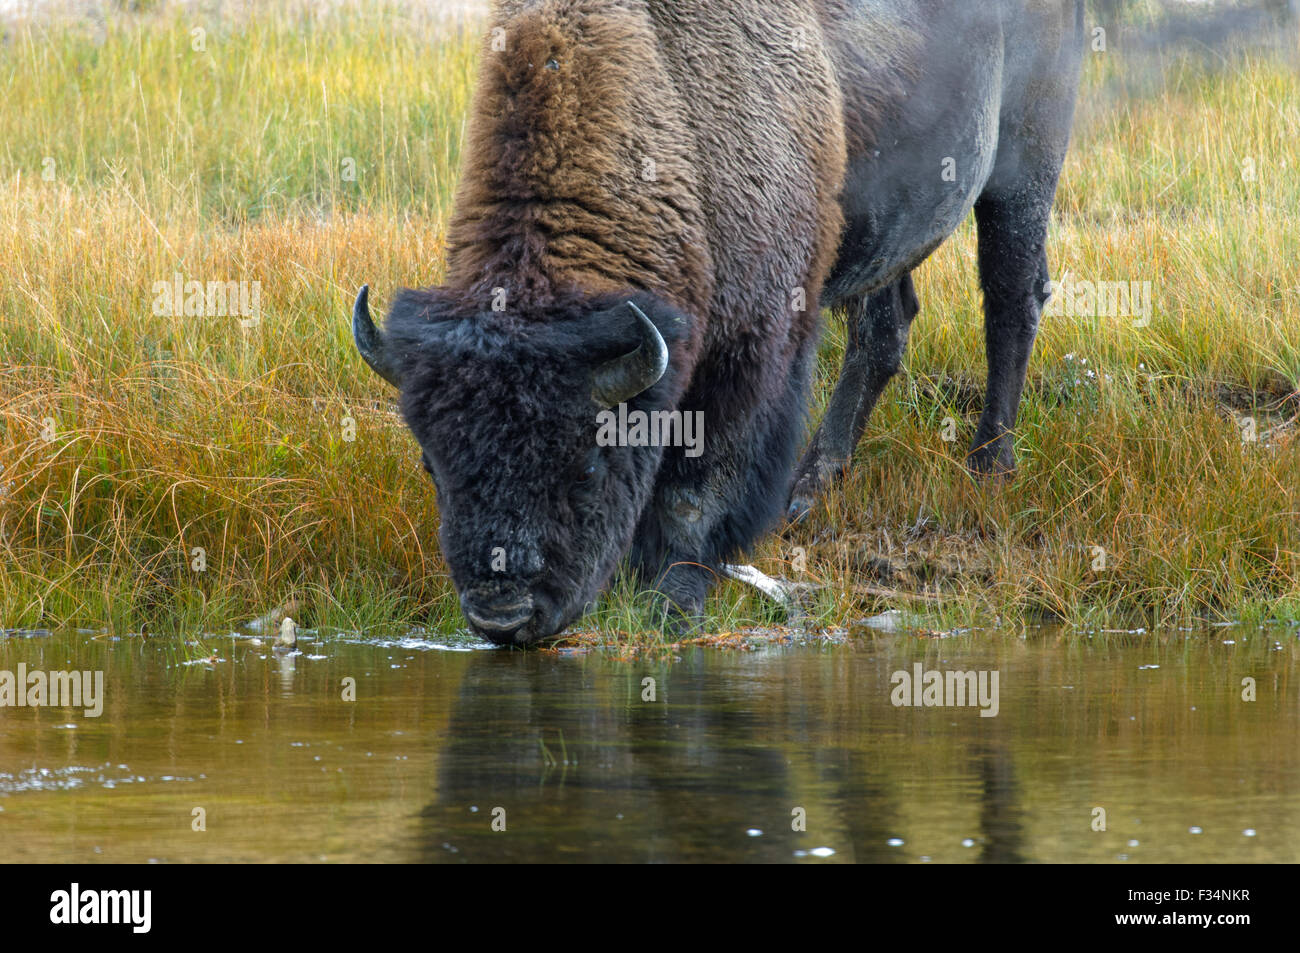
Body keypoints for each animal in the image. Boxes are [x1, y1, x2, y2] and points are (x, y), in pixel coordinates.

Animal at [352, 0, 1084, 645]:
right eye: (431, 464)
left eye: (586, 463)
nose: (502, 616)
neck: (673, 107)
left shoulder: (750, 348)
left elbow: (694, 489)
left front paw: (672, 605)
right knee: (886, 327)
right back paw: (810, 489)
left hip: (1023, 170)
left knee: (1011, 301)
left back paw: (989, 467)